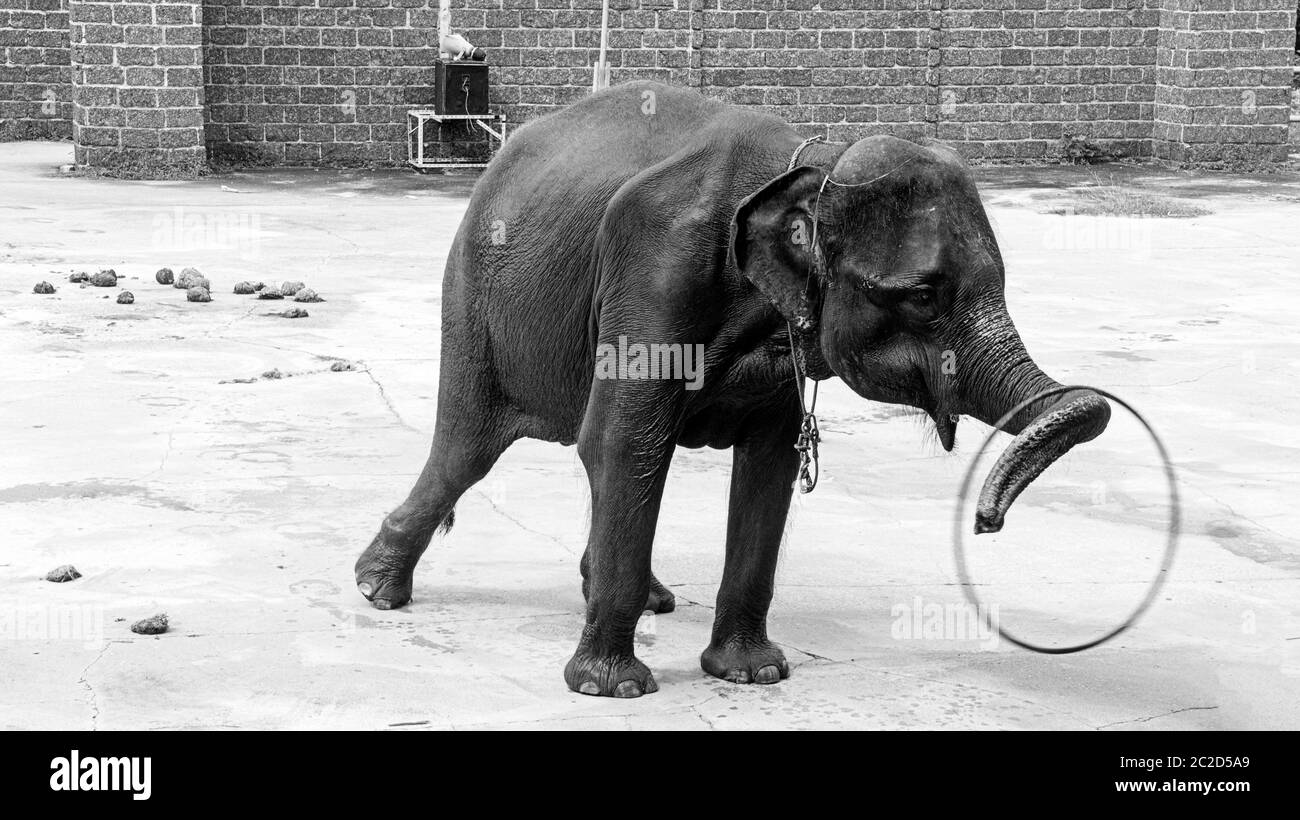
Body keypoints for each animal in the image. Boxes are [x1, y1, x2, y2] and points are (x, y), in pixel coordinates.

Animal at [355, 81, 1110, 697]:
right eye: (925, 297)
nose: (985, 522)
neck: (812, 162)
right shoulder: (656, 266)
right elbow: (625, 442)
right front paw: (612, 688)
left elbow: (768, 463)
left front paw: (754, 674)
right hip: (474, 302)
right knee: (467, 448)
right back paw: (378, 589)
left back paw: (647, 598)